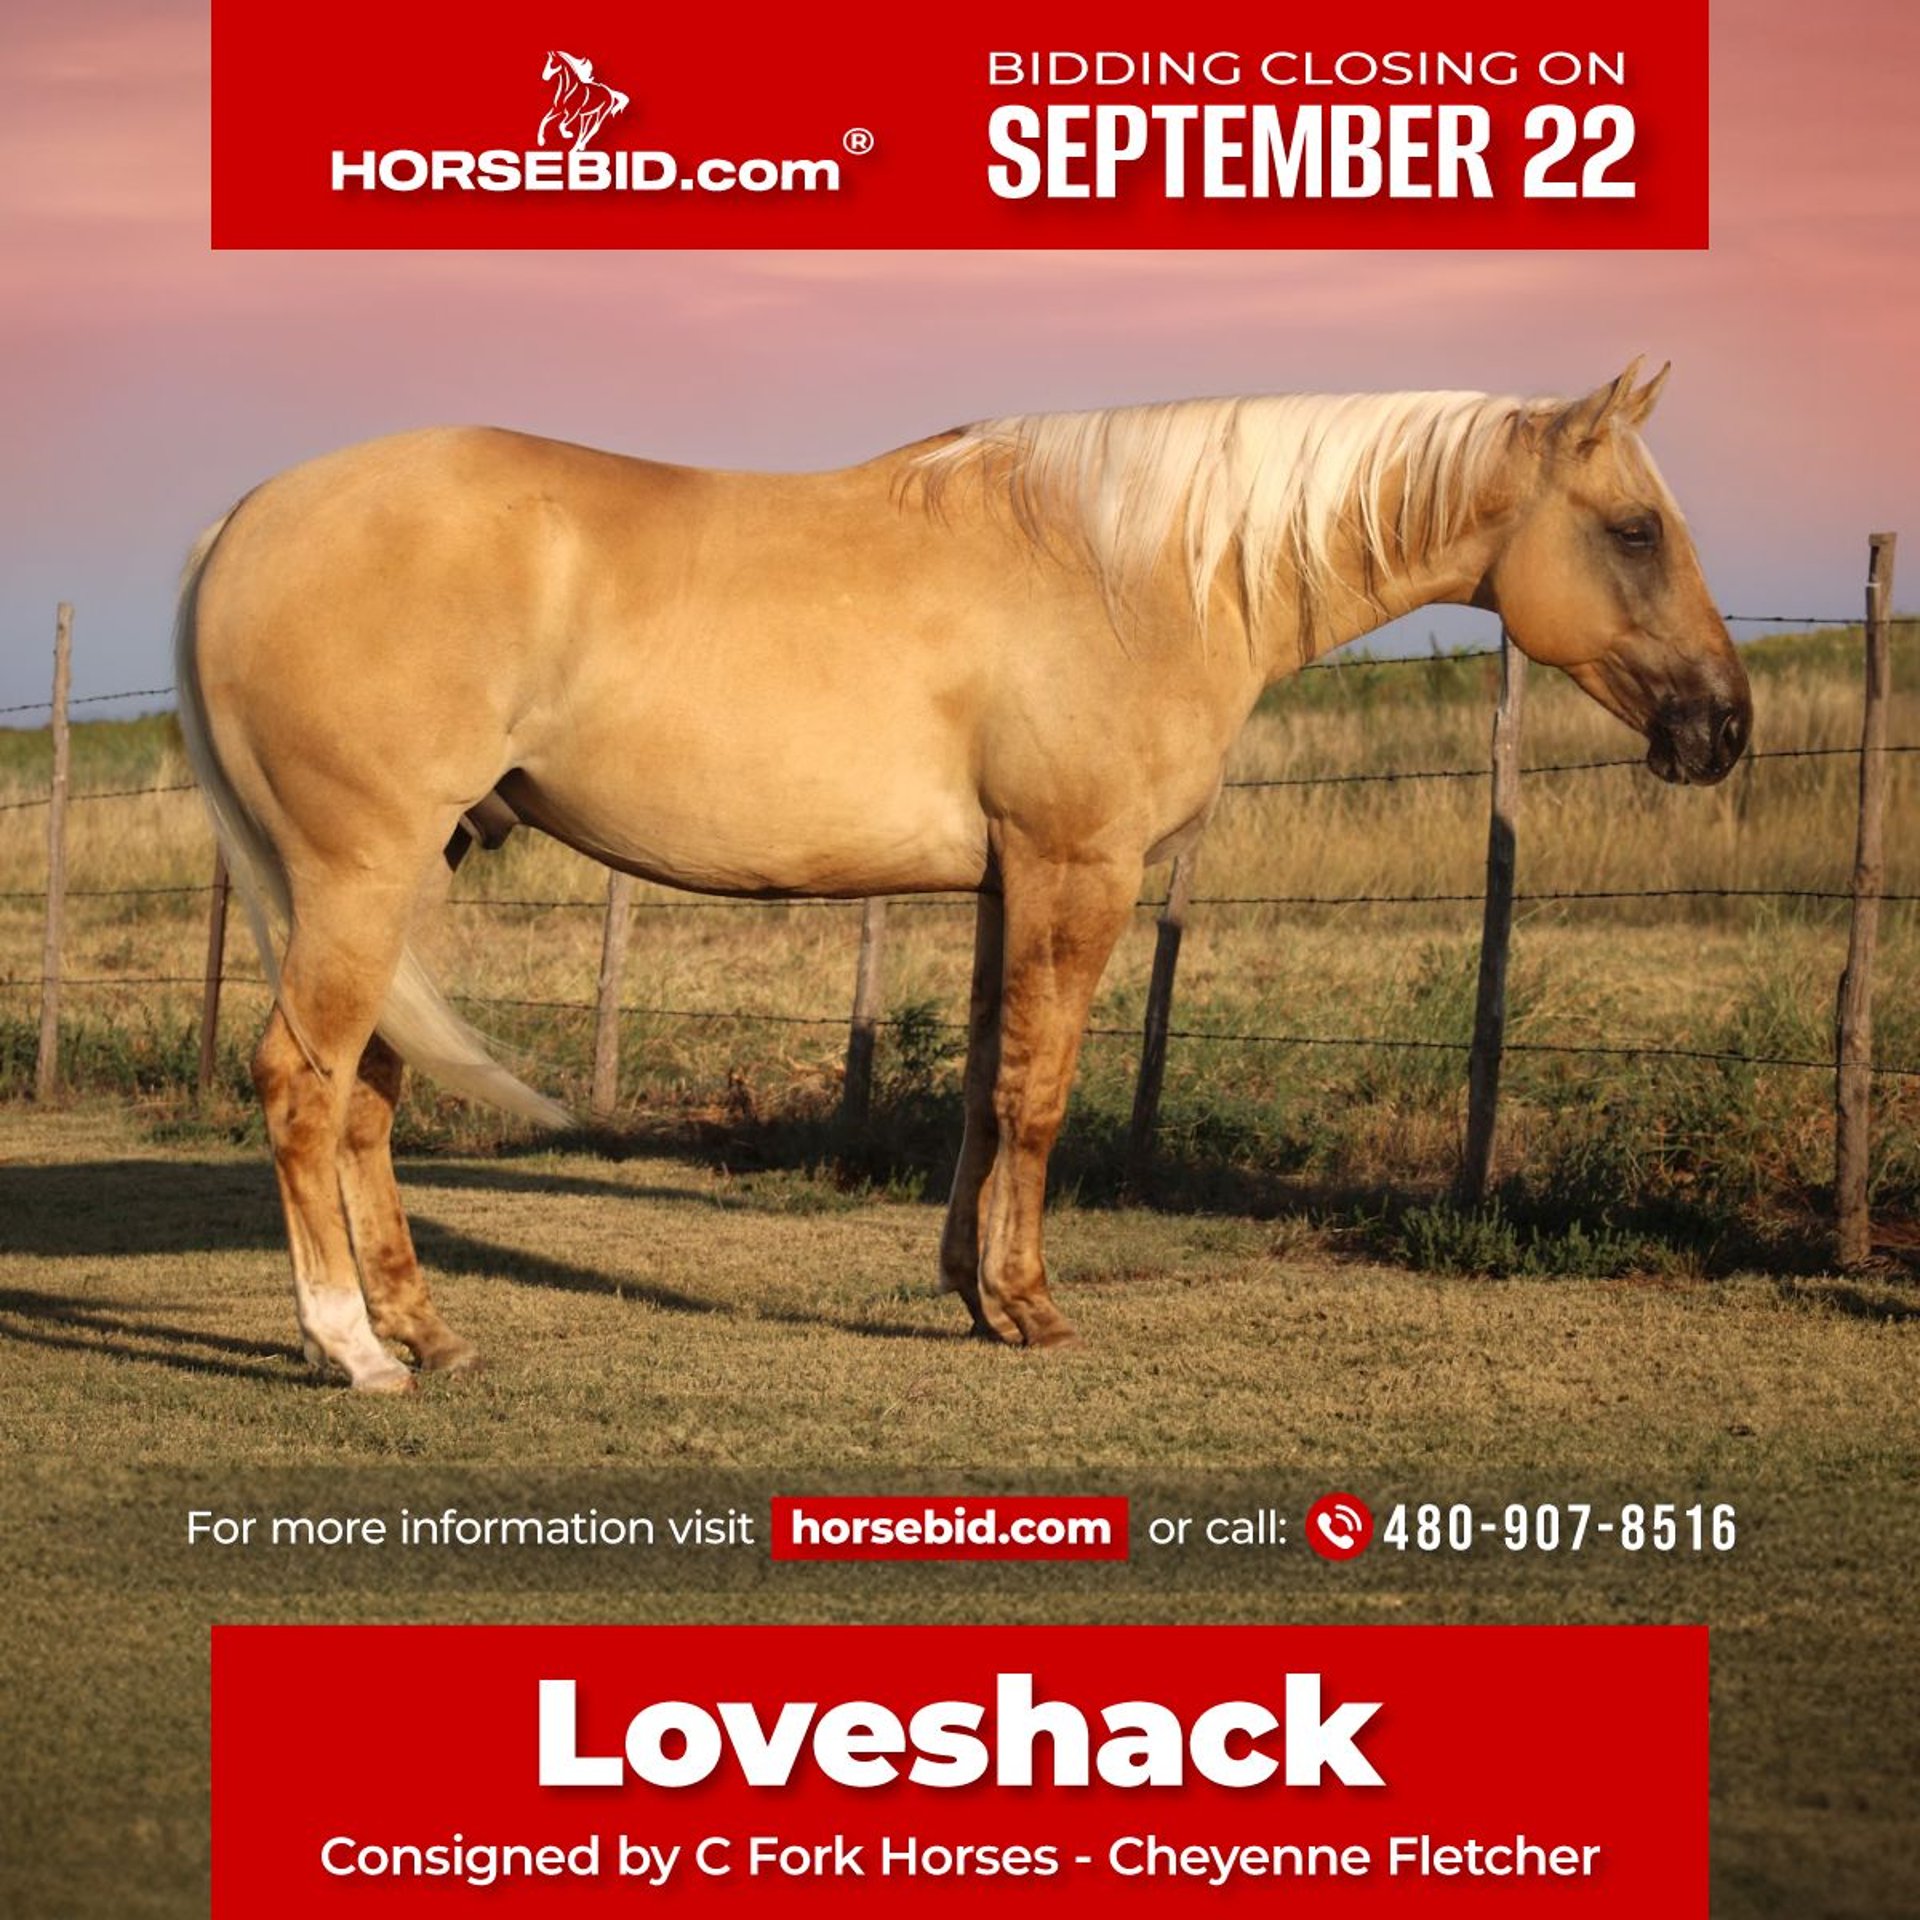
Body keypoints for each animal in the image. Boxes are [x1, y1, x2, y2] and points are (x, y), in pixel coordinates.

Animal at [173, 362, 1751, 1391]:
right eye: (1634, 530)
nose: (1724, 729)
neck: (1141, 571)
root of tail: (242, 518)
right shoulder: (1078, 867)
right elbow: (1041, 1095)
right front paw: (1031, 1307)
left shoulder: (1010, 882)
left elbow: (992, 1083)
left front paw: (972, 1292)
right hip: (362, 877)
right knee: (300, 1085)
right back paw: (351, 1349)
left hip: (403, 880)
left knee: (368, 1093)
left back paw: (424, 1331)